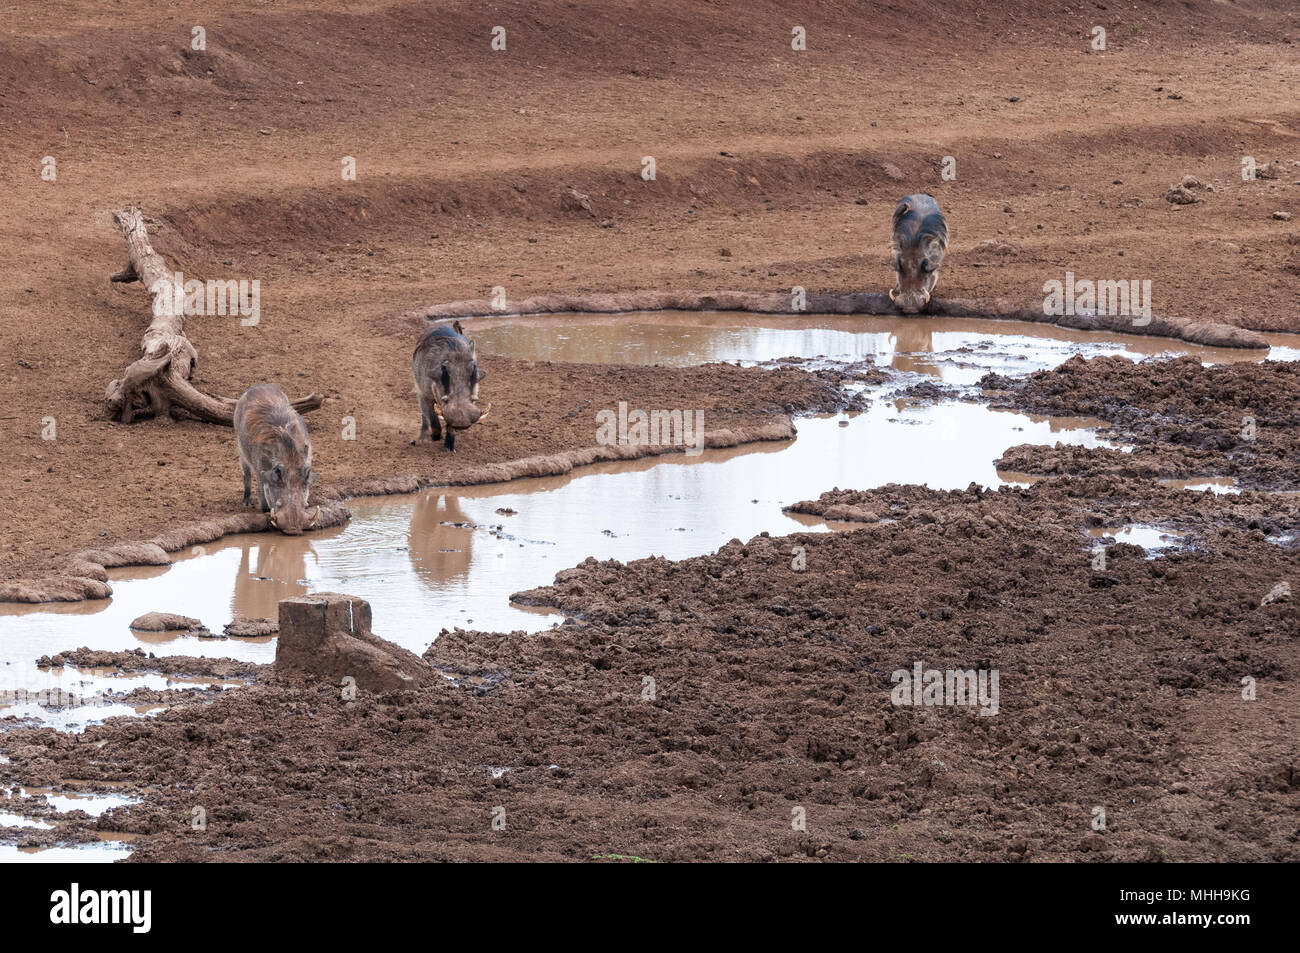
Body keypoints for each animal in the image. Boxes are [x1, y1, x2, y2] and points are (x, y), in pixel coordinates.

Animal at [234, 383, 319, 535]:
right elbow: (262, 490)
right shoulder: (261, 470)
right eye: (278, 472)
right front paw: (266, 509)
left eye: (306, 474)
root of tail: (259, 386)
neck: (289, 453)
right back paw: (246, 502)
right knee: (246, 475)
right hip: (240, 448)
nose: (293, 529)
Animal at [411, 321, 490, 452]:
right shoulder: (425, 394)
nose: (461, 422)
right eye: (443, 368)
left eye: (474, 368)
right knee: (424, 415)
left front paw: (449, 448)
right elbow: (432, 418)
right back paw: (422, 439)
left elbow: (449, 425)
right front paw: (435, 437)